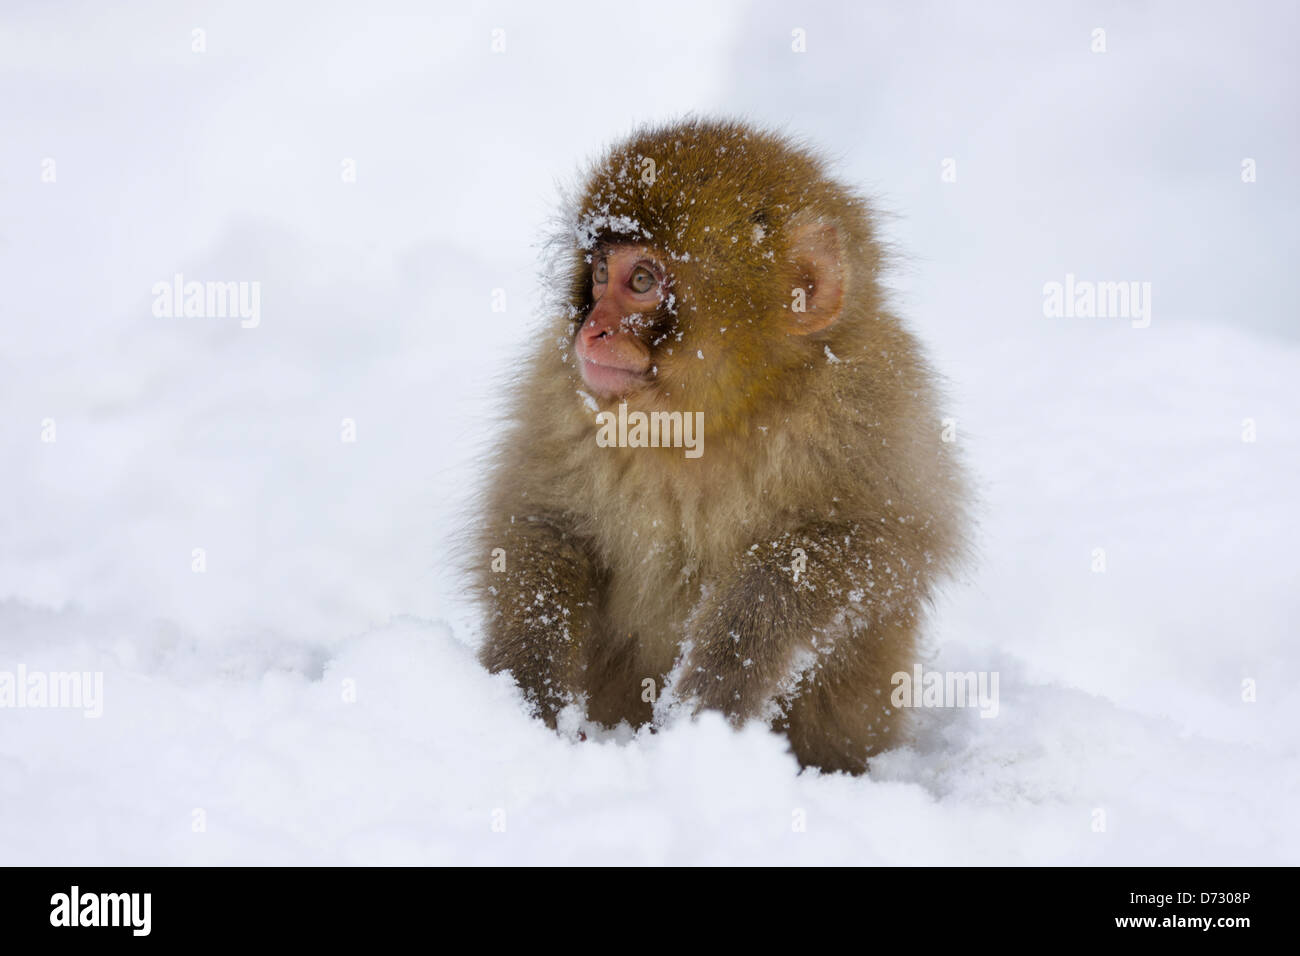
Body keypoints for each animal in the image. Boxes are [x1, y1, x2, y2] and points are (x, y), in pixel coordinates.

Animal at [472, 119, 967, 774]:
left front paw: (720, 685)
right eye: (600, 273)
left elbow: (873, 543)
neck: (715, 417)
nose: (591, 330)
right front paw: (530, 693)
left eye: (642, 281)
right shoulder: (561, 396)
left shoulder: (872, 402)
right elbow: (541, 524)